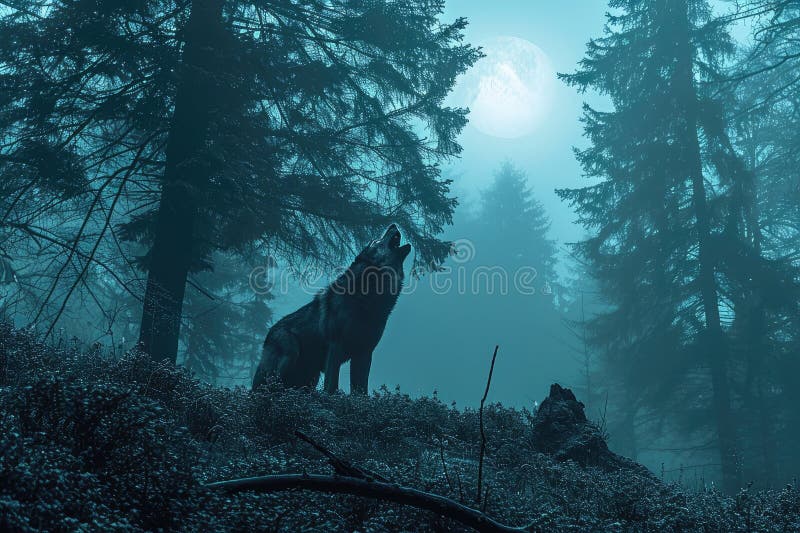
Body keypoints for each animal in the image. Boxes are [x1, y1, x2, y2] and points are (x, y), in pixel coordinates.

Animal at [252, 224, 411, 394]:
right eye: (376, 240)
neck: (368, 299)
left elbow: (361, 389)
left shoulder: (364, 352)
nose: (393, 225)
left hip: (311, 376)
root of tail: (268, 334)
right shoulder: (336, 345)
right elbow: (331, 384)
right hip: (291, 353)